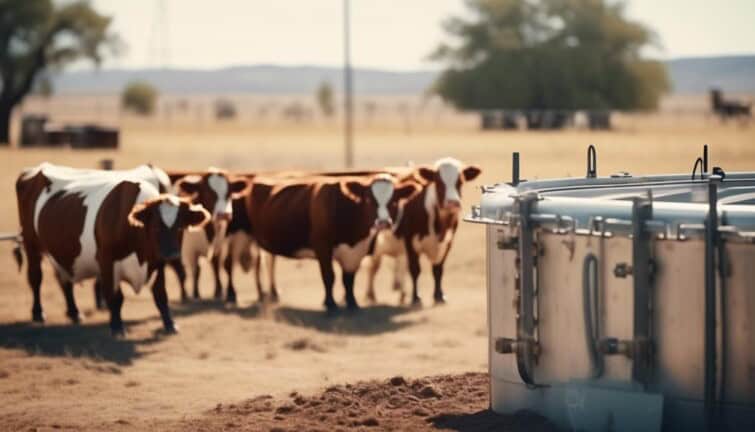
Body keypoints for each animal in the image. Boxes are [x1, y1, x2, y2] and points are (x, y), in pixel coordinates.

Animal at [16, 163, 210, 335]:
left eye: (180, 227)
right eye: (155, 227)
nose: (172, 254)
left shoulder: (157, 262)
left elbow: (161, 294)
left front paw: (169, 324)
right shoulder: (107, 261)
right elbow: (115, 297)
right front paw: (117, 326)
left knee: (64, 280)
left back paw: (74, 312)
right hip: (31, 244)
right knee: (35, 277)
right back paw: (38, 313)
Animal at [168, 169, 249, 303]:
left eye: (229, 192)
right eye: (207, 192)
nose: (224, 215)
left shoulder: (229, 241)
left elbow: (227, 265)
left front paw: (230, 293)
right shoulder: (189, 249)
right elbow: (195, 270)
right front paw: (195, 294)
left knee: (214, 265)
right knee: (181, 269)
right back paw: (185, 295)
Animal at [224, 174, 420, 311]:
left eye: (394, 200)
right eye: (370, 200)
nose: (383, 222)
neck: (346, 207)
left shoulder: (356, 251)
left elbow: (349, 279)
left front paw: (352, 303)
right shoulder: (322, 247)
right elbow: (329, 276)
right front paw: (330, 304)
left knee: (264, 264)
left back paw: (266, 293)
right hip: (237, 235)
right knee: (230, 263)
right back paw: (232, 295)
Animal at [364, 158, 481, 305]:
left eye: (460, 181)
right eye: (438, 181)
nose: (452, 202)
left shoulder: (448, 243)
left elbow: (438, 269)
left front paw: (439, 296)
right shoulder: (411, 243)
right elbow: (415, 269)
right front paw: (416, 297)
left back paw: (401, 293)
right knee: (372, 268)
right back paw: (371, 295)